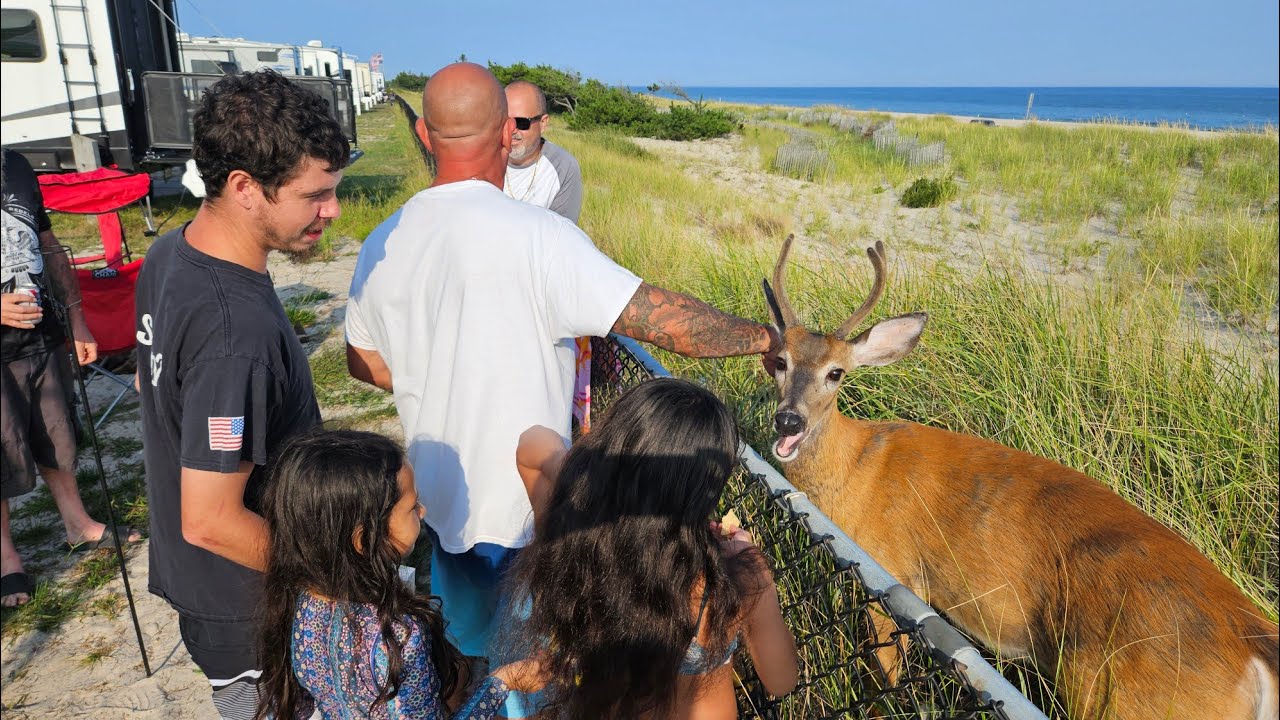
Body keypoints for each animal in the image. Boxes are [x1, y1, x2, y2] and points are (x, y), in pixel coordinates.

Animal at [760, 236, 1278, 720]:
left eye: (836, 373)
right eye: (780, 361)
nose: (789, 421)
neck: (858, 467)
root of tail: (1257, 653)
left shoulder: (894, 575)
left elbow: (882, 672)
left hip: (1125, 695)